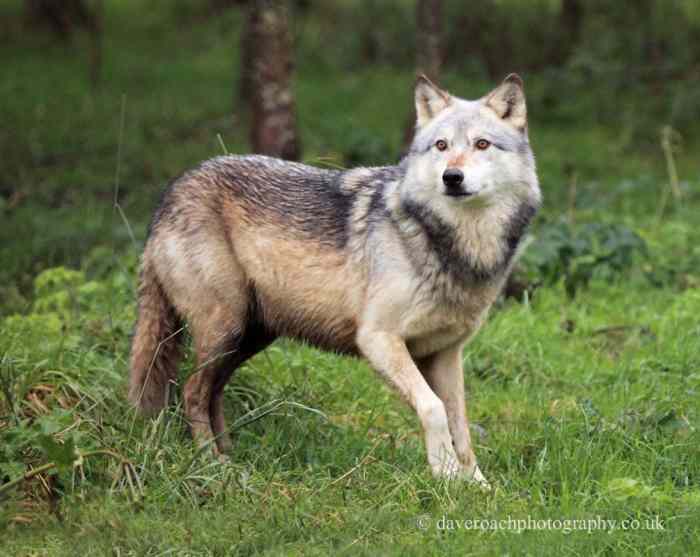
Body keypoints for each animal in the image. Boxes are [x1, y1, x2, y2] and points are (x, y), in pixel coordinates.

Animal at [128, 74, 541, 486]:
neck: (453, 245)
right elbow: (433, 408)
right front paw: (444, 474)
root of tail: (167, 196)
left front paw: (478, 485)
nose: (452, 177)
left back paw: (230, 456)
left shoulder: (445, 354)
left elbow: (462, 426)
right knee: (193, 391)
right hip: (225, 330)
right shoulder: (378, 339)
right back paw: (211, 464)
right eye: (441, 146)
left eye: (481, 144)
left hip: (248, 337)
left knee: (212, 392)